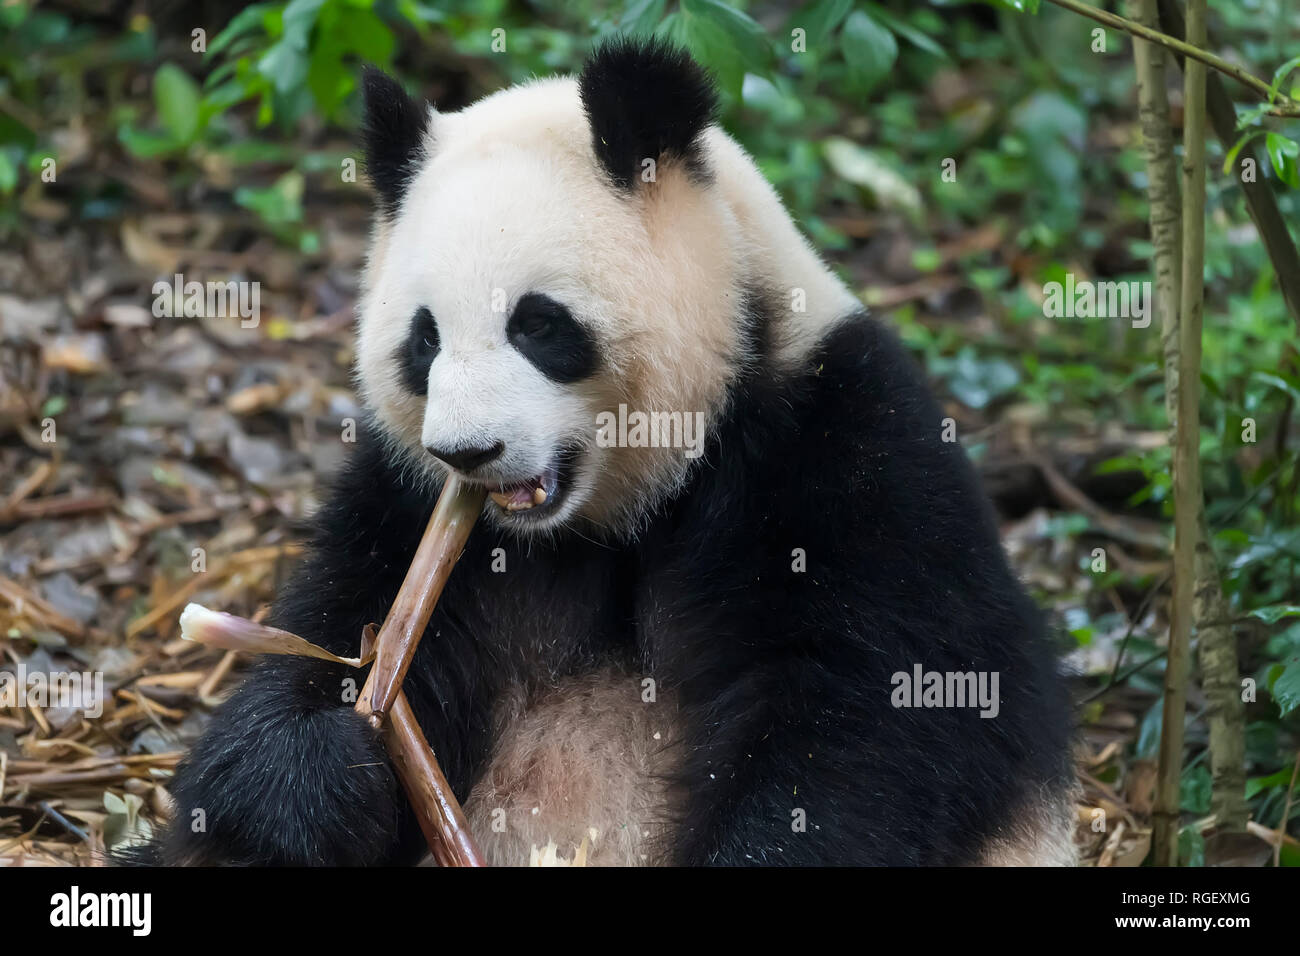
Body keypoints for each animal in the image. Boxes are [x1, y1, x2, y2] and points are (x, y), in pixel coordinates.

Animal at [148, 37, 1076, 867]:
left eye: (538, 324)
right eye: (424, 339)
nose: (469, 452)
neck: (622, 512)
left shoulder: (843, 454)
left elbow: (874, 719)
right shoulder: (408, 503)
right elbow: (331, 637)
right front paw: (319, 775)